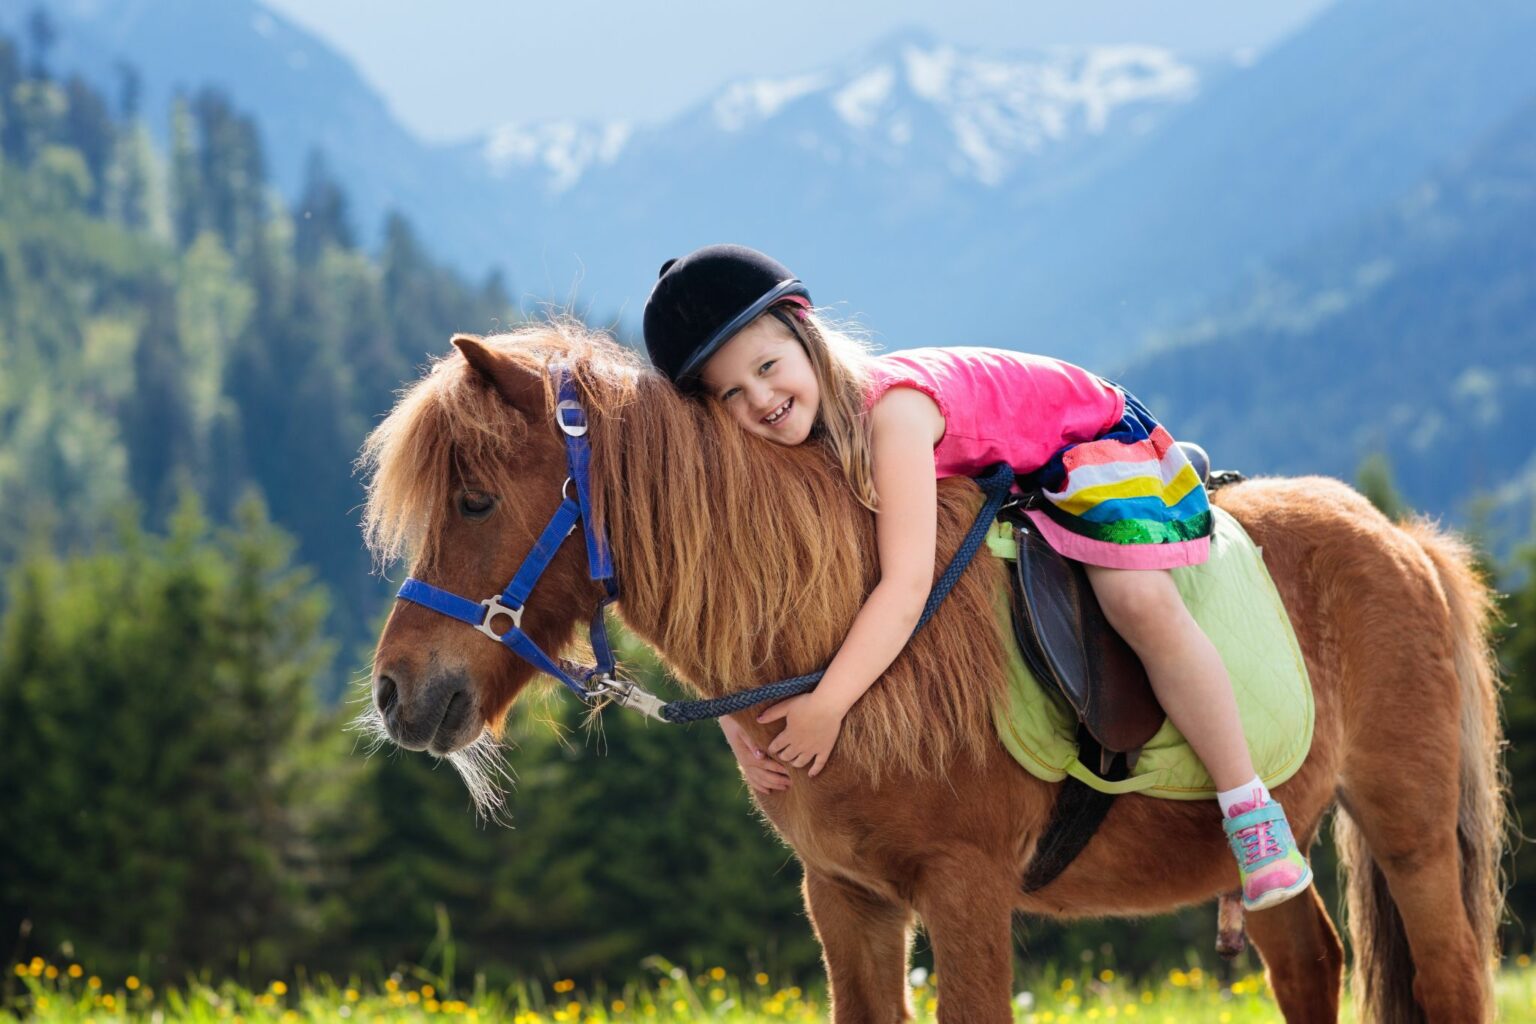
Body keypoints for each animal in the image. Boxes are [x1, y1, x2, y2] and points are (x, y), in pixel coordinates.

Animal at [357, 320, 1507, 1023]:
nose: (396, 692)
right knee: (1310, 961)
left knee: (1450, 973)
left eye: (473, 500)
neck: (846, 655)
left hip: (1405, 832)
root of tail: (1401, 538)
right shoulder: (848, 901)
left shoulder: (965, 892)